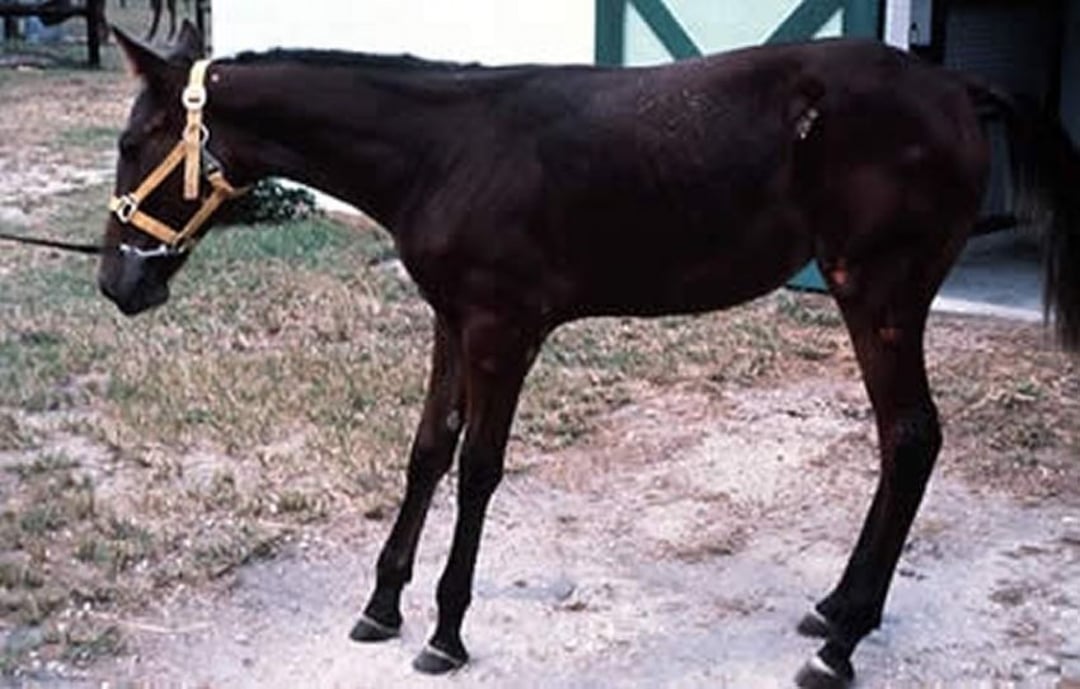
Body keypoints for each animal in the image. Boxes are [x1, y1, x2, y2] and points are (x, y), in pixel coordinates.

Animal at [96, 23, 1080, 689]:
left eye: (134, 143)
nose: (117, 282)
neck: (445, 150)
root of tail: (955, 87)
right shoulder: (452, 321)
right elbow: (427, 452)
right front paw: (381, 605)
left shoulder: (504, 331)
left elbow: (480, 468)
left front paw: (446, 630)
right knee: (898, 443)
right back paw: (835, 608)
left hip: (877, 296)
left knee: (911, 437)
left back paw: (843, 642)